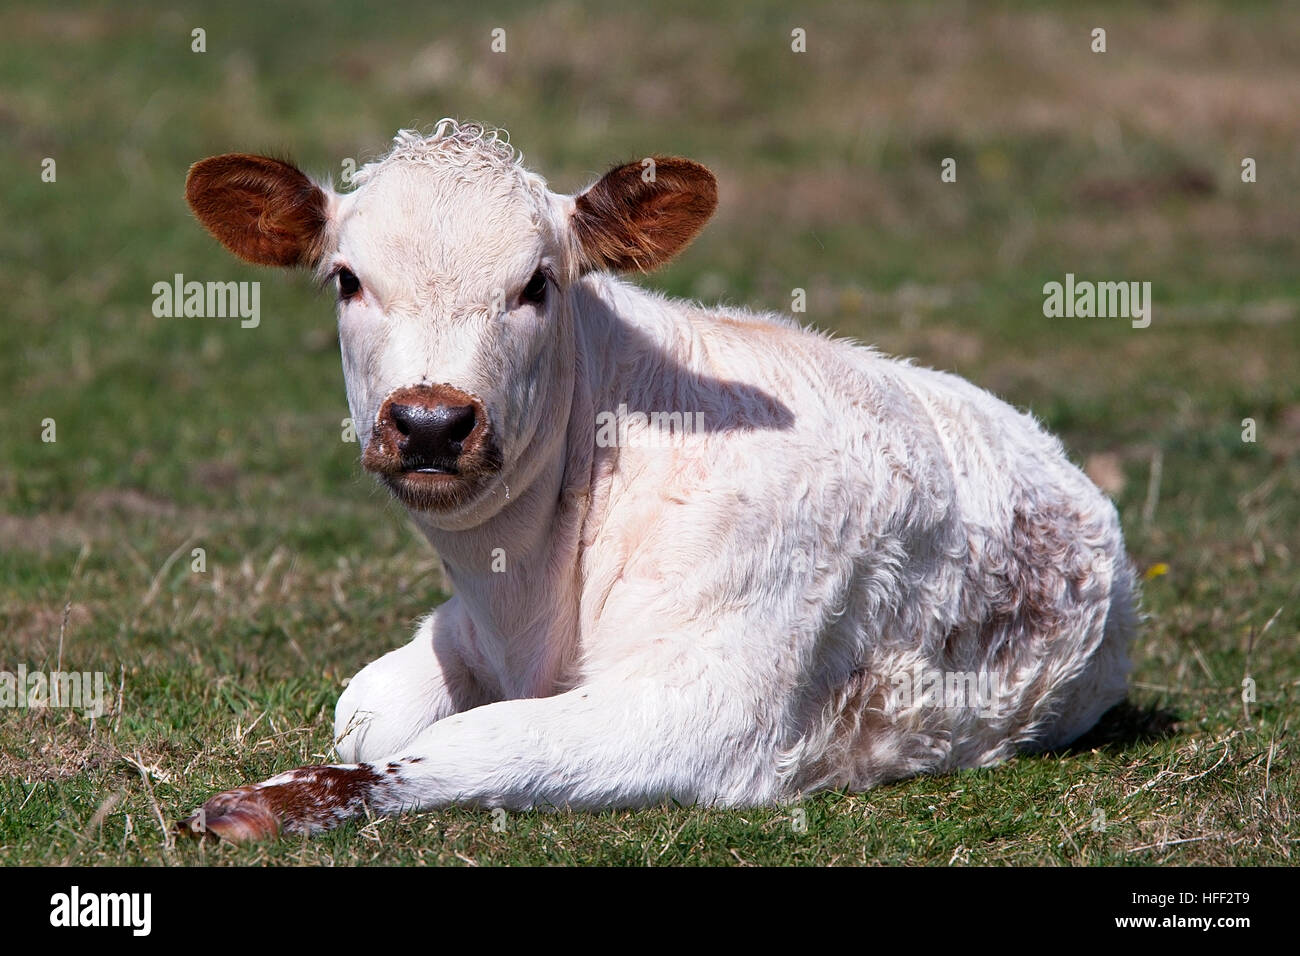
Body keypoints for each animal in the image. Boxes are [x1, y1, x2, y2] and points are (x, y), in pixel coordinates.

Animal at [180, 120, 1137, 842]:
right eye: (347, 280)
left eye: (537, 284)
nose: (430, 423)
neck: (523, 591)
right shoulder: (465, 631)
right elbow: (368, 706)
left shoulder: (706, 700)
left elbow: (477, 743)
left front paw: (261, 806)